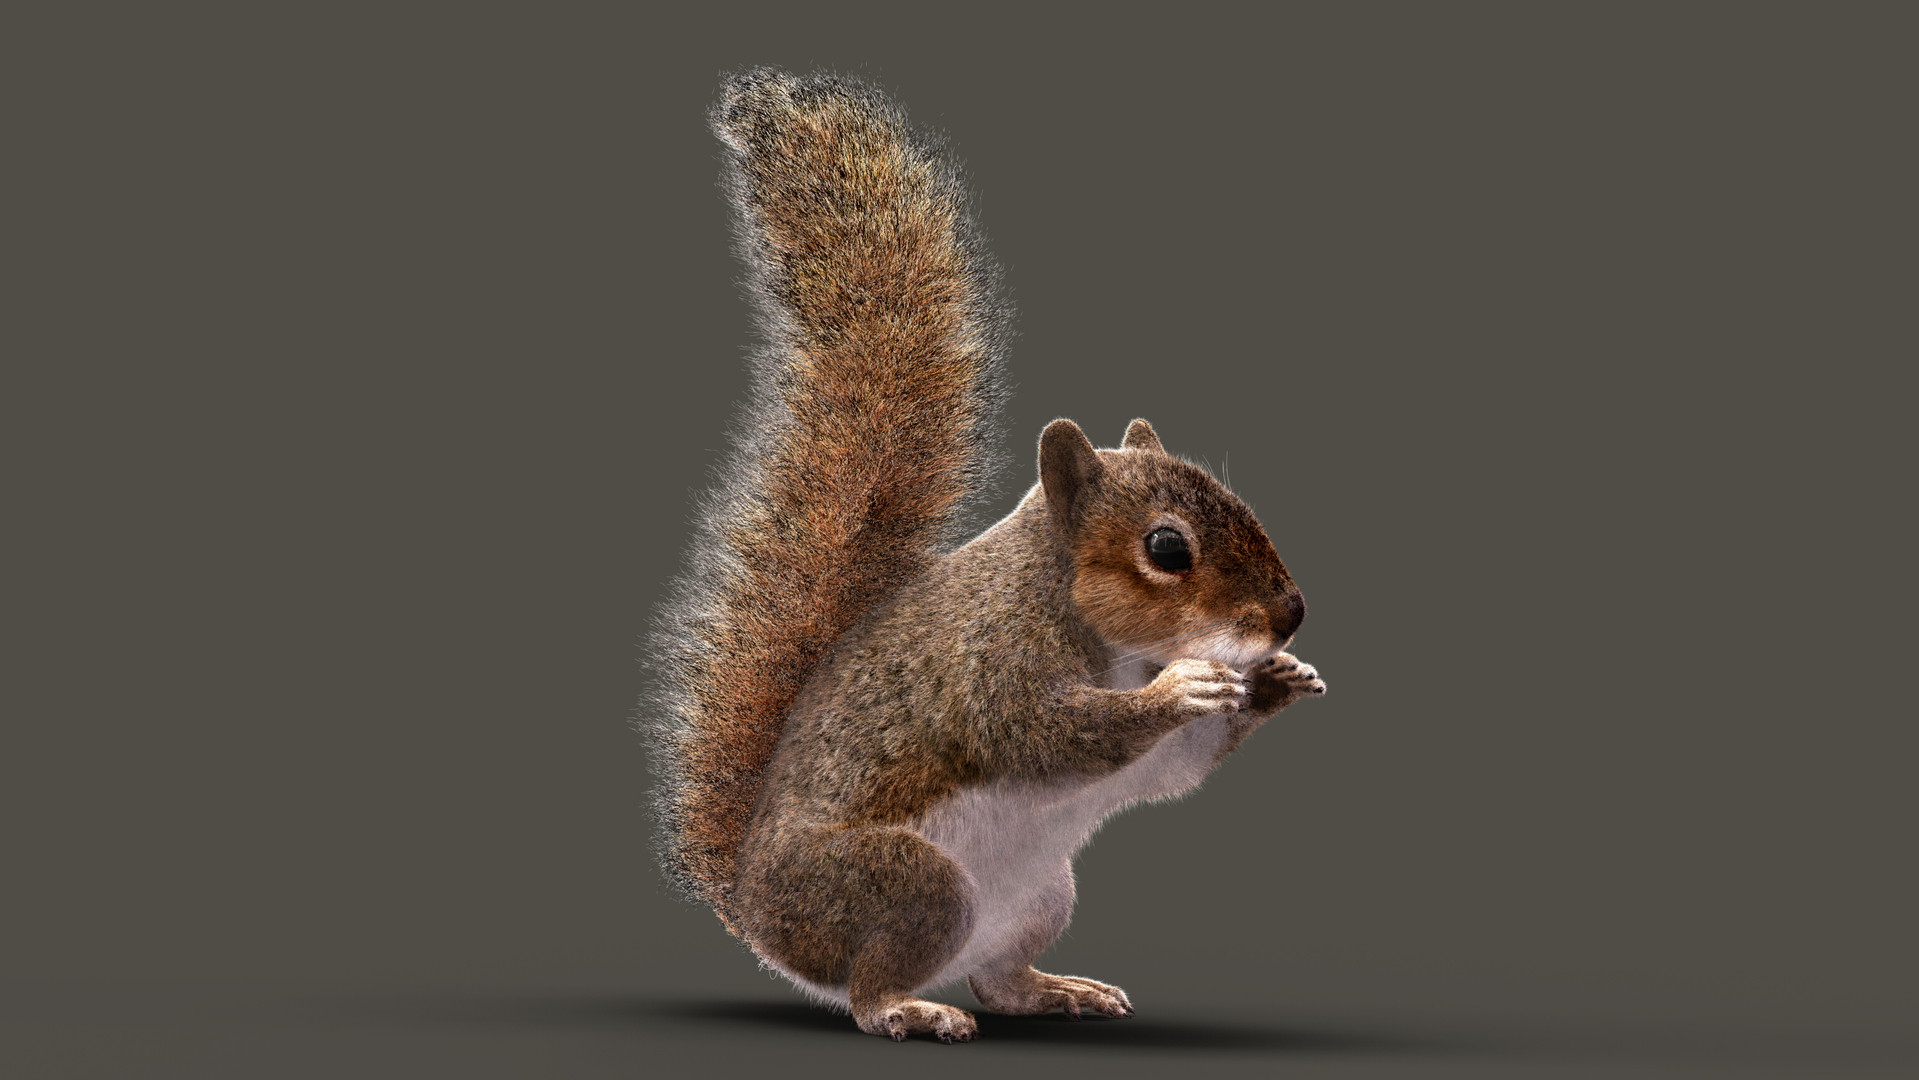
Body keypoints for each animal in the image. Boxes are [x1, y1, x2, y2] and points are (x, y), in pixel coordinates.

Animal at [645, 67, 1326, 1043]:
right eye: (1166, 547)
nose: (1290, 616)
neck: (1112, 640)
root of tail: (758, 916)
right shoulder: (987, 666)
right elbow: (1046, 732)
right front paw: (1181, 691)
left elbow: (1169, 770)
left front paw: (1276, 681)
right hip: (908, 886)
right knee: (868, 992)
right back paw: (910, 1010)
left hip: (1042, 894)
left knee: (997, 978)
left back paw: (1056, 990)